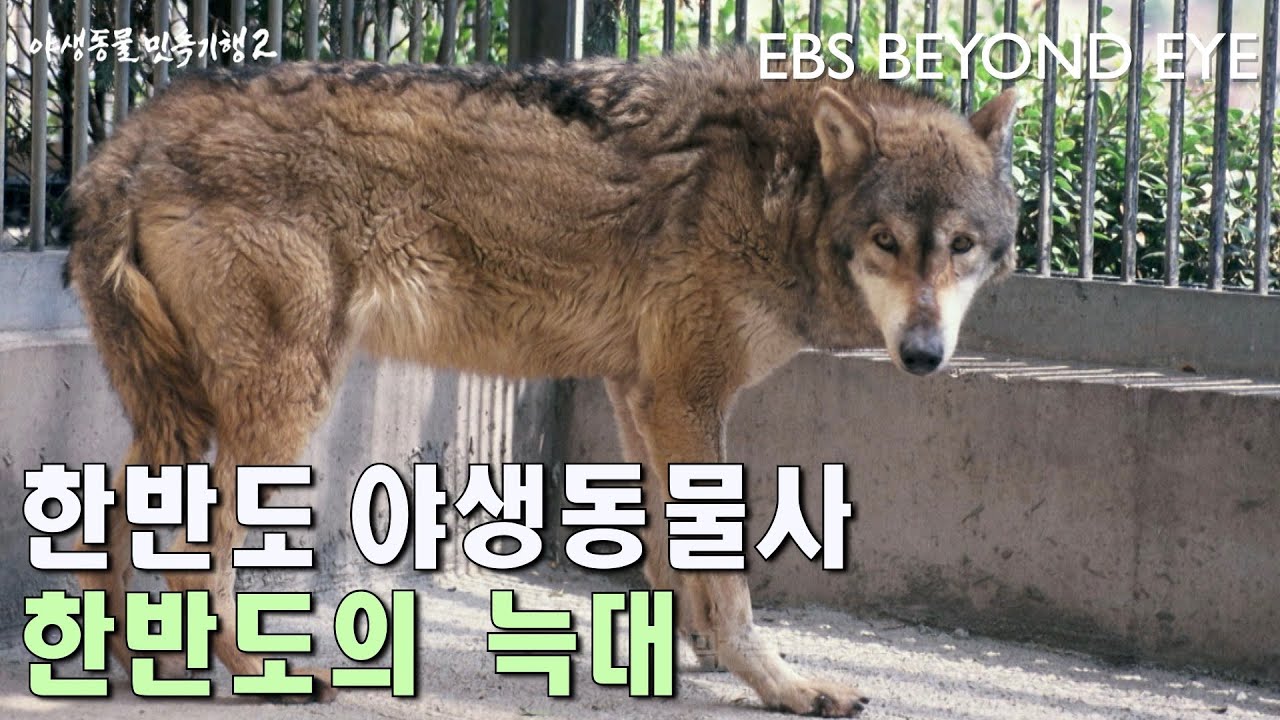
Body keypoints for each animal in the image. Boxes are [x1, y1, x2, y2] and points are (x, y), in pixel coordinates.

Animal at [65, 50, 1018, 716]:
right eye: (887, 241)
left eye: (961, 245)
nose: (925, 354)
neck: (782, 193)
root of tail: (136, 130)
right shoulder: (685, 397)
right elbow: (728, 578)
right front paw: (781, 685)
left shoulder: (640, 396)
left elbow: (677, 556)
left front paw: (693, 652)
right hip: (282, 408)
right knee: (198, 565)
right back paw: (260, 675)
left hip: (183, 420)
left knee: (110, 512)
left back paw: (134, 663)